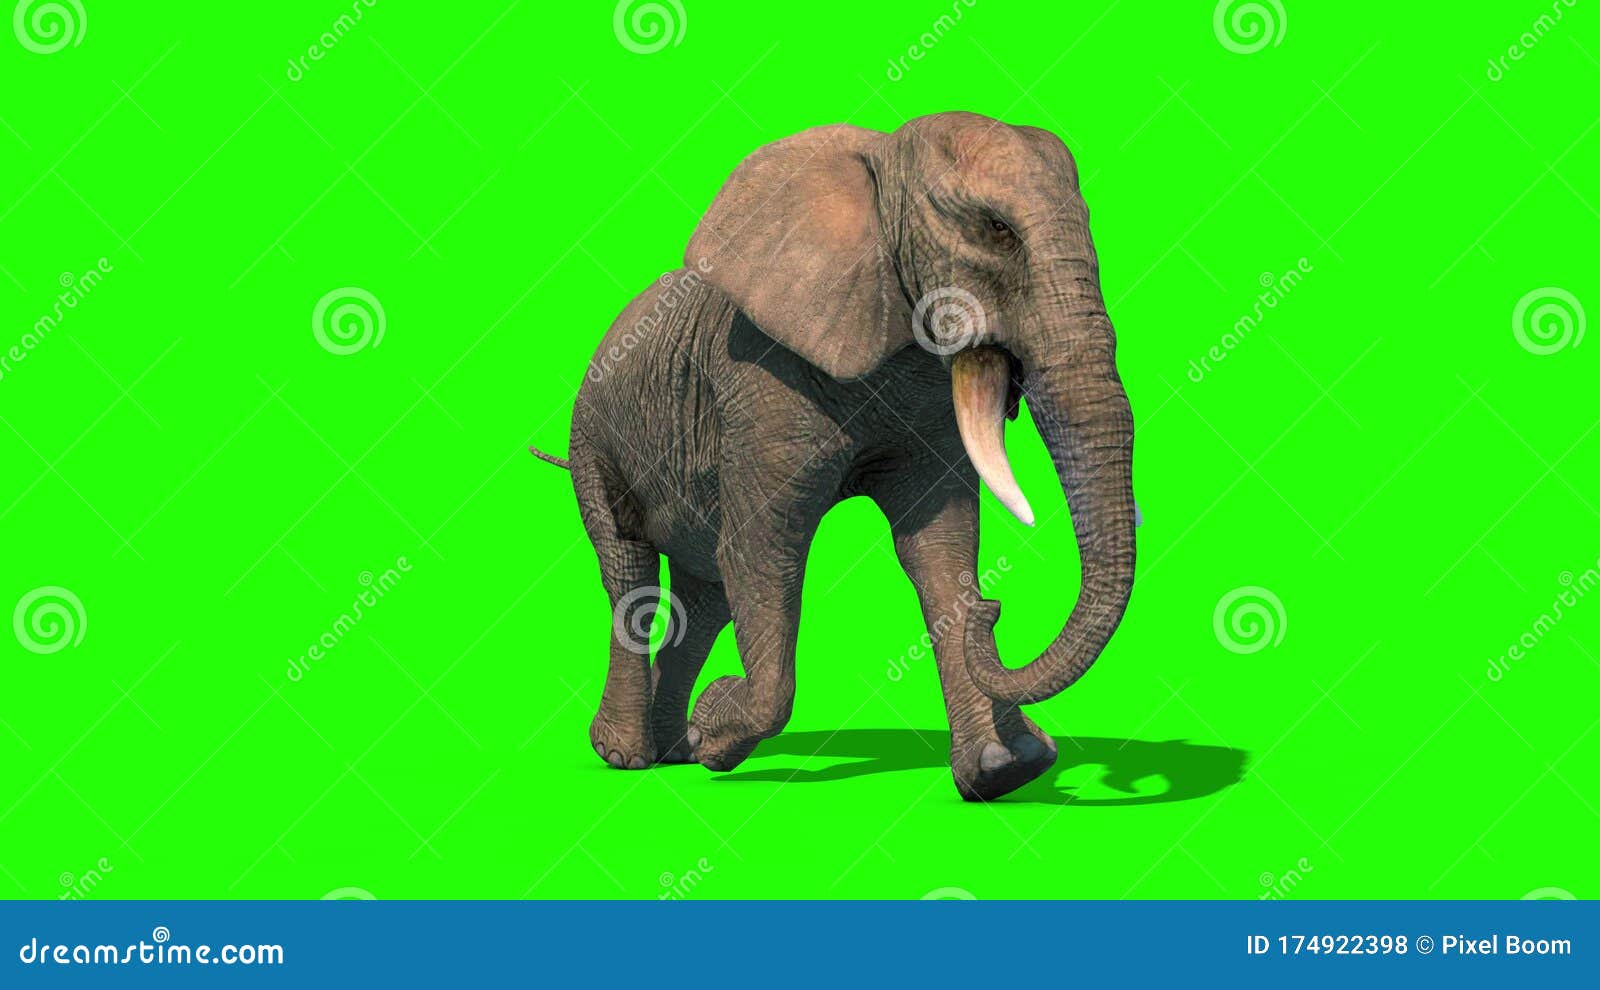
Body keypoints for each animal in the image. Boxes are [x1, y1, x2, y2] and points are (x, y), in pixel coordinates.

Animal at [539, 111, 1137, 801]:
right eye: (996, 230)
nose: (994, 609)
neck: (881, 165)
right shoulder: (759, 371)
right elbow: (764, 548)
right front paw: (716, 730)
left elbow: (940, 542)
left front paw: (1006, 769)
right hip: (594, 439)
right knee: (630, 571)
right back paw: (628, 754)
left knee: (705, 592)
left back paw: (673, 750)